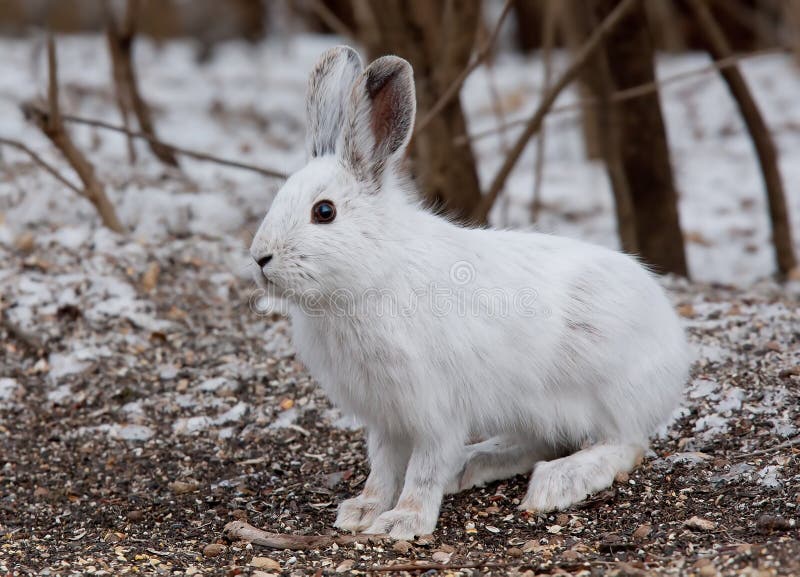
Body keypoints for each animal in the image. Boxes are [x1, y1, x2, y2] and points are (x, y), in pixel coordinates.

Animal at [249, 46, 690, 541]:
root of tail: (675, 351)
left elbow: (423, 468)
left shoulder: (433, 409)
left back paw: (554, 484)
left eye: (323, 212)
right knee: (542, 441)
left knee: (625, 444)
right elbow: (382, 466)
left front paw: (404, 521)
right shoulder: (385, 417)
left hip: (606, 392)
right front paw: (362, 511)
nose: (259, 258)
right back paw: (472, 466)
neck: (374, 272)